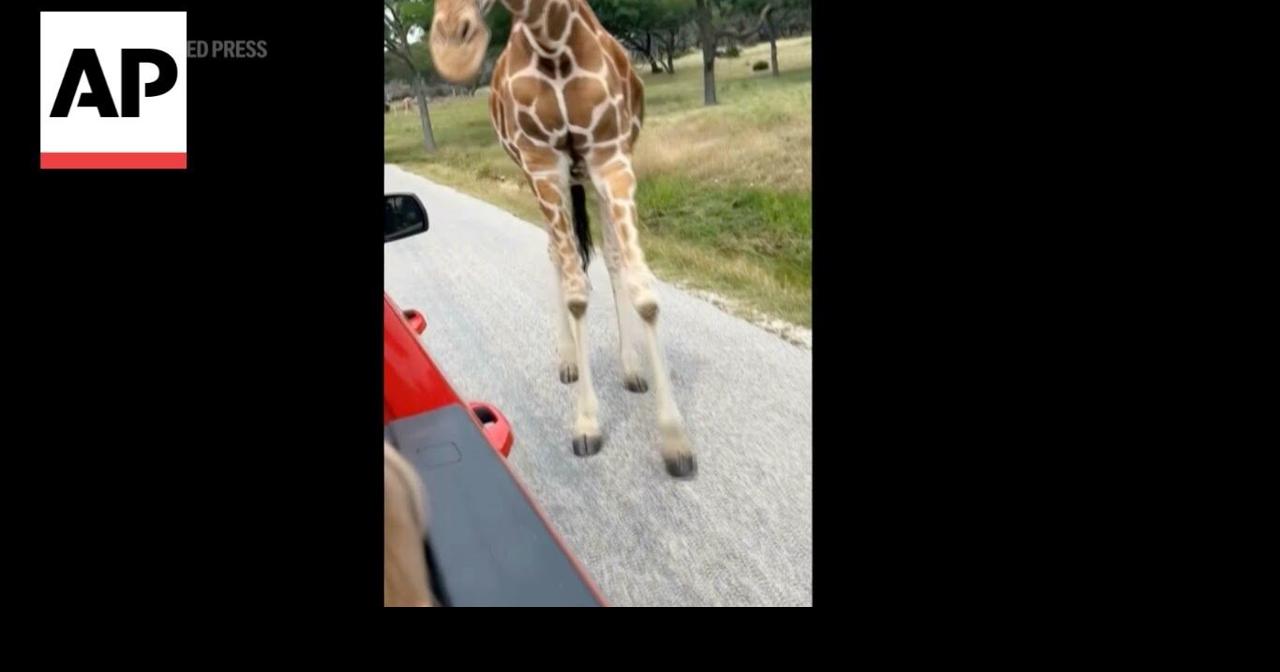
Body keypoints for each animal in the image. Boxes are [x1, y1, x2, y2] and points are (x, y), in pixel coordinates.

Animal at [429, 0, 696, 478]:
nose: (451, 44)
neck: (551, 40)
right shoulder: (542, 165)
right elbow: (576, 294)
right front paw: (587, 423)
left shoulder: (611, 157)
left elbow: (643, 290)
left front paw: (676, 442)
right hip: (541, 177)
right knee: (556, 254)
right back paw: (569, 361)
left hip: (588, 175)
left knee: (609, 257)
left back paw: (631, 369)